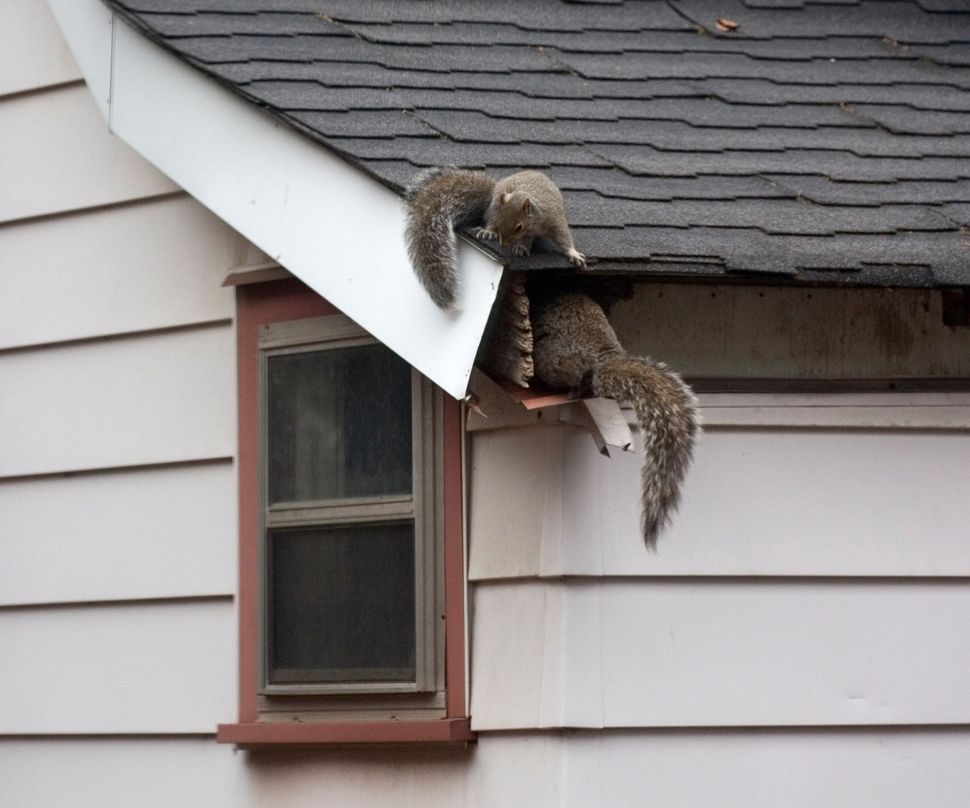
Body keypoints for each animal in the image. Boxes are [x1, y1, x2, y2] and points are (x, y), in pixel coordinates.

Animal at [404, 167, 586, 310]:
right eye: (501, 220)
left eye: (519, 226)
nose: (503, 243)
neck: (534, 221)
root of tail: (494, 192)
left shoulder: (553, 220)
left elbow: (563, 237)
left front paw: (573, 253)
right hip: (494, 206)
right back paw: (489, 232)